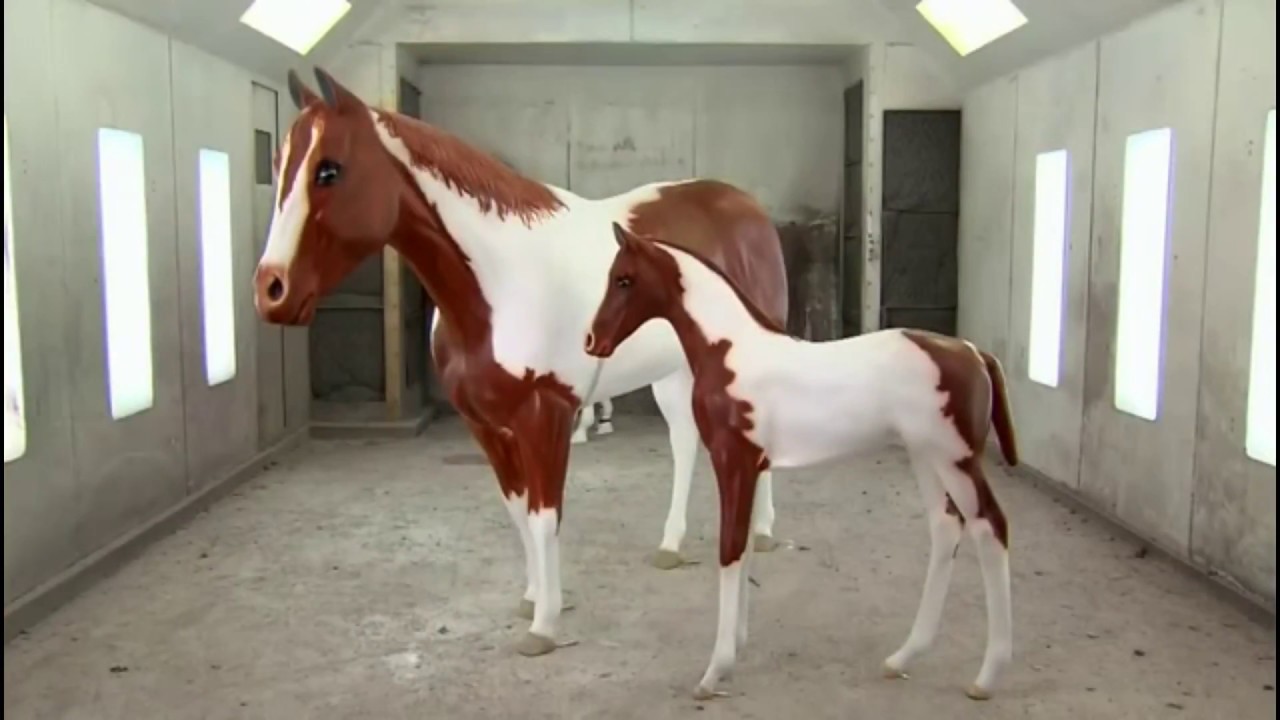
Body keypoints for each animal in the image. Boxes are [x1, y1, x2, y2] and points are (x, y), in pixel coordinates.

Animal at [251, 68, 790, 656]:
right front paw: (532, 599)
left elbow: (545, 514)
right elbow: (517, 510)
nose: (271, 290)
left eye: (329, 169)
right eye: (278, 165)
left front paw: (545, 625)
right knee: (684, 444)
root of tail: (745, 207)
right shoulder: (486, 424)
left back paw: (762, 532)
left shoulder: (545, 412)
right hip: (674, 372)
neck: (497, 282)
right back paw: (671, 544)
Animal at [584, 223, 1019, 701]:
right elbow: (745, 545)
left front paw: (715, 671)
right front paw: (736, 644)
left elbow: (729, 548)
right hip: (926, 457)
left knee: (989, 528)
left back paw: (987, 676)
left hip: (955, 459)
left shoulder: (733, 460)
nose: (592, 341)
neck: (730, 350)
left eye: (624, 280)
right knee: (946, 529)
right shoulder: (751, 467)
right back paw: (903, 657)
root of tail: (976, 353)